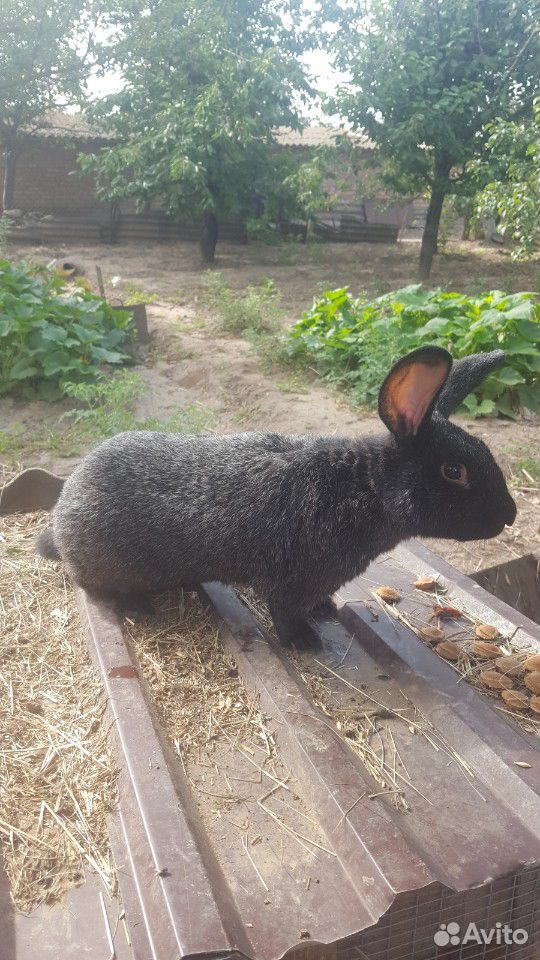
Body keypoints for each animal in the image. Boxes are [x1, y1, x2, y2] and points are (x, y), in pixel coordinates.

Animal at [37, 346, 516, 646]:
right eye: (454, 471)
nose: (509, 515)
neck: (366, 488)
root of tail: (60, 521)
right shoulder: (288, 582)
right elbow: (285, 614)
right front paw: (305, 642)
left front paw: (325, 611)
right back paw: (138, 606)